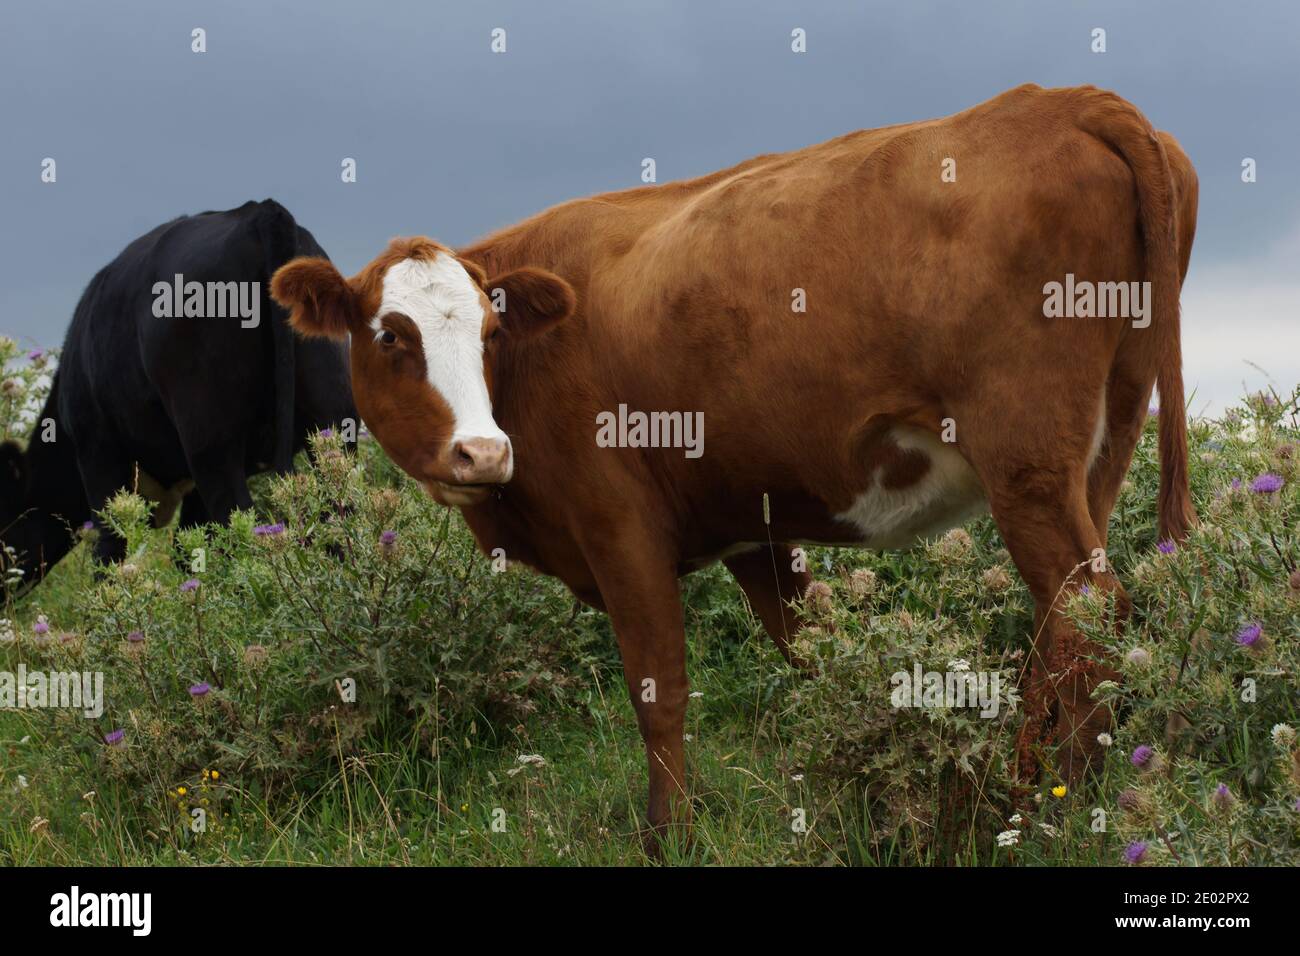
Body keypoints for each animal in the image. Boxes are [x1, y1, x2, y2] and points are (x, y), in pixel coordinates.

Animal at [0, 199, 357, 587]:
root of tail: (258, 212)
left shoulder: (96, 449)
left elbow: (110, 548)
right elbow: (191, 547)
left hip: (209, 438)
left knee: (241, 521)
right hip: (332, 414)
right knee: (343, 511)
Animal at [271, 85, 1198, 848]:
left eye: (491, 334)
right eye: (390, 336)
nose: (483, 450)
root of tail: (1069, 100)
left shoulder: (619, 525)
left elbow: (660, 688)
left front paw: (668, 836)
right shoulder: (754, 530)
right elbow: (814, 657)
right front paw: (862, 781)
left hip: (1026, 463)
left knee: (1088, 622)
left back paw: (1061, 812)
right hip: (1097, 450)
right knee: (1061, 624)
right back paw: (1022, 788)